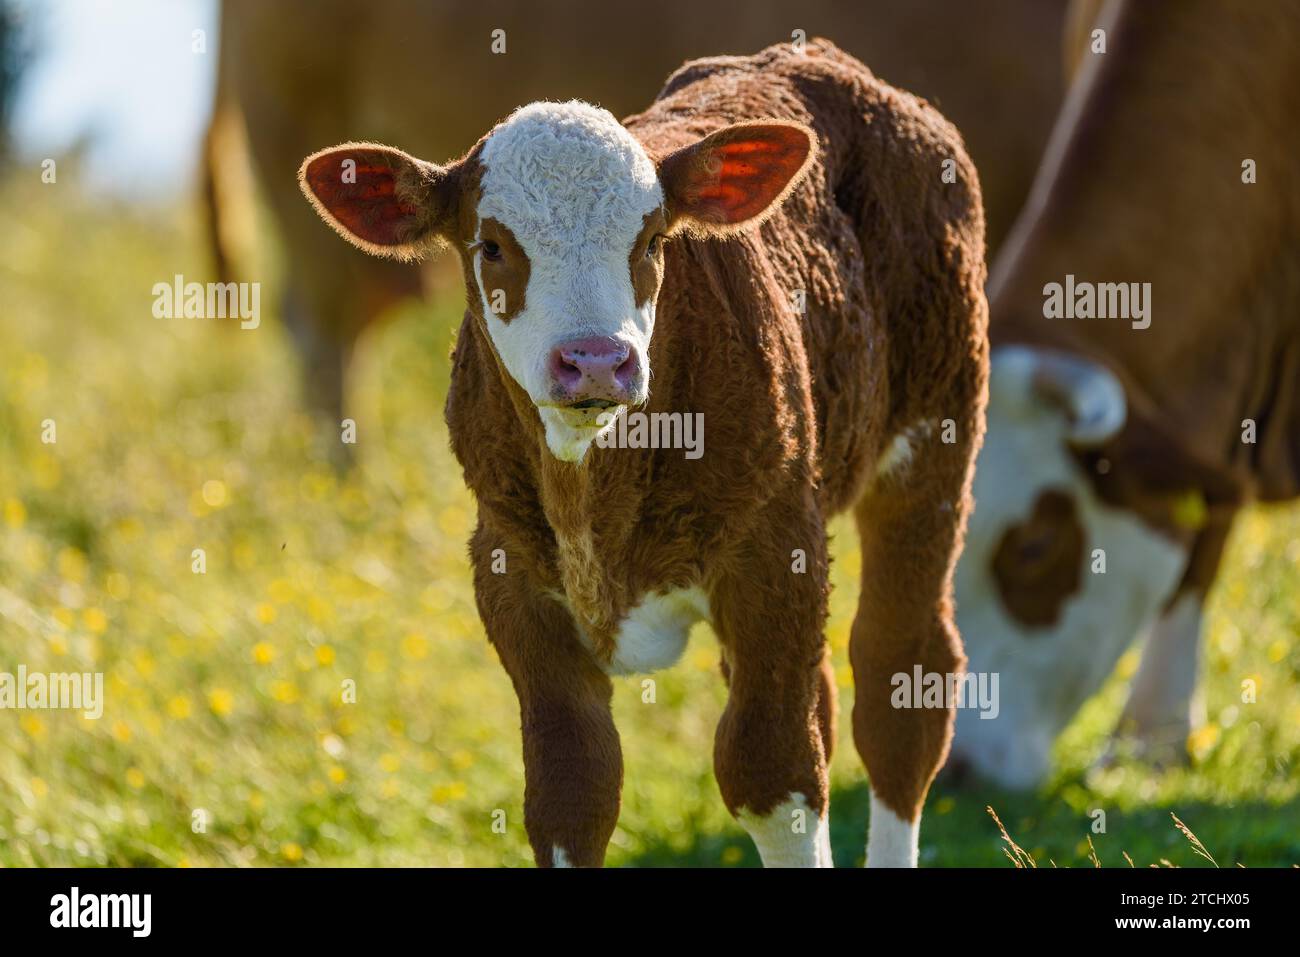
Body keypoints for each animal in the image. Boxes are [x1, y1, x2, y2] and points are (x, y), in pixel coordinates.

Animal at [298, 40, 988, 866]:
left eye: (654, 242)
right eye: (491, 246)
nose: (594, 360)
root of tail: (820, 58)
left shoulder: (771, 551)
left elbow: (773, 771)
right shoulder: (510, 577)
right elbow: (572, 787)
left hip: (936, 430)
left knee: (899, 680)